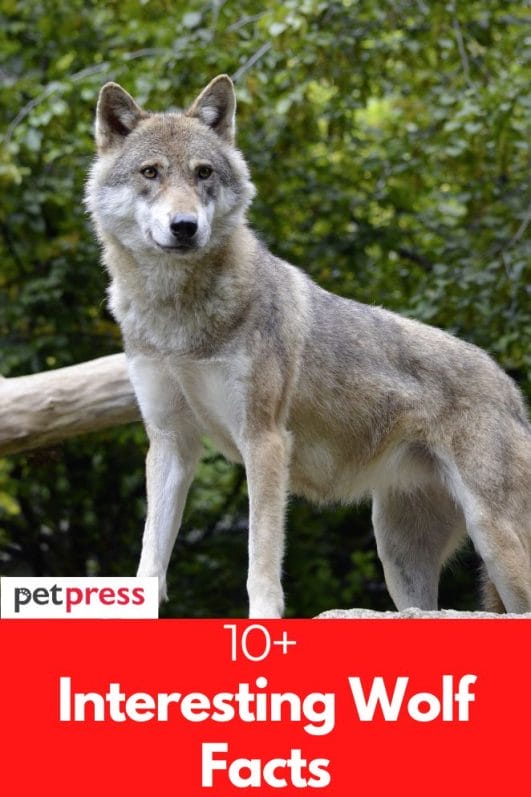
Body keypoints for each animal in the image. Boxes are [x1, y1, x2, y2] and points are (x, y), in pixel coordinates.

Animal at [86, 74, 531, 617]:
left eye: (203, 173)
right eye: (151, 172)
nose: (185, 227)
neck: (177, 319)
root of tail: (510, 388)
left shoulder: (265, 440)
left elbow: (260, 561)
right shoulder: (171, 442)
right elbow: (151, 559)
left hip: (496, 541)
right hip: (399, 561)